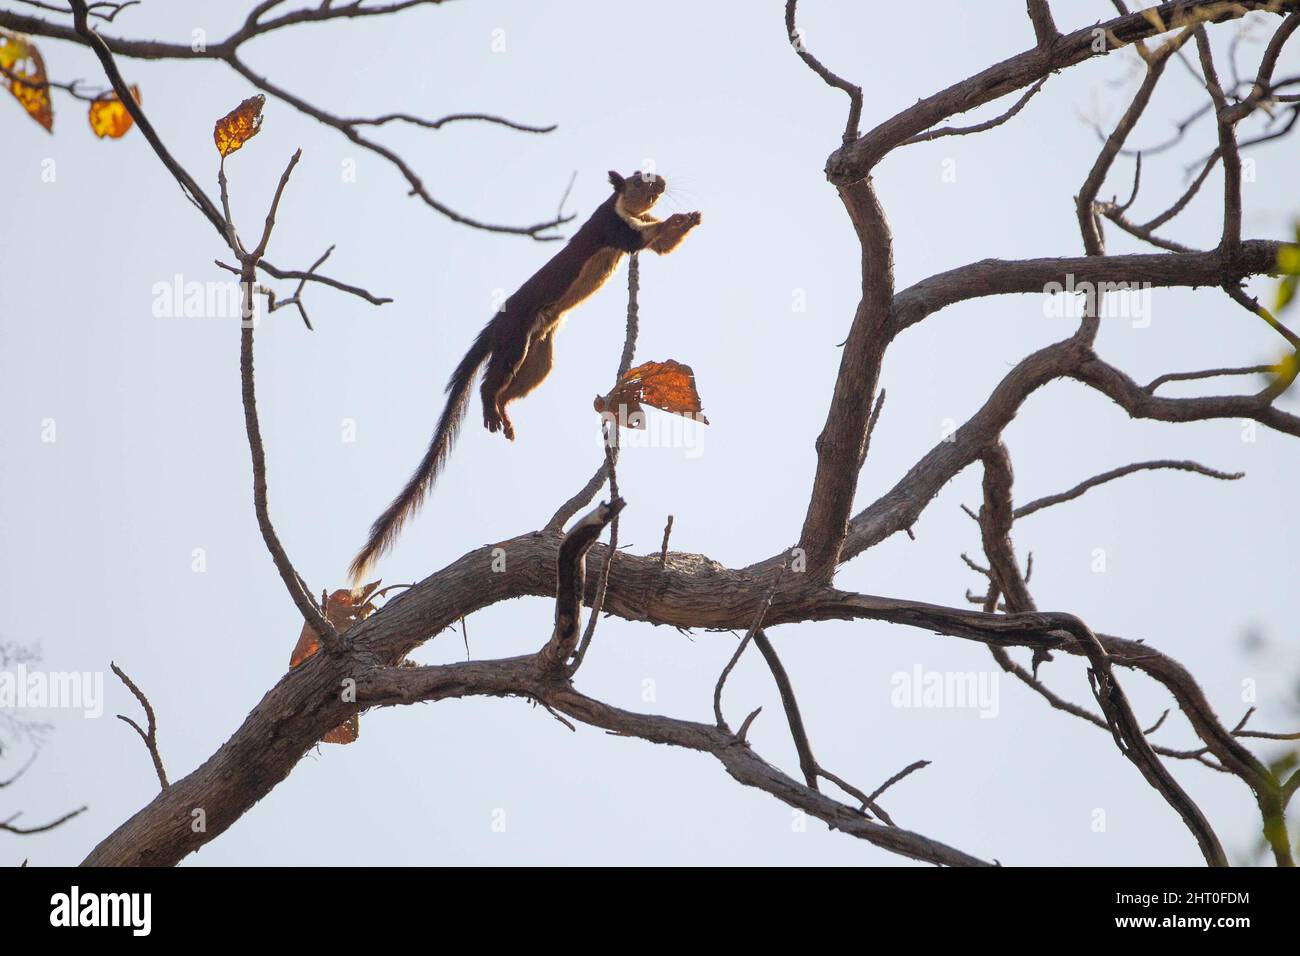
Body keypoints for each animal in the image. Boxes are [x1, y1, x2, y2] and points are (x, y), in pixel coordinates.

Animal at [348, 169, 701, 584]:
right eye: (638, 178)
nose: (661, 182)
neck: (625, 208)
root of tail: (496, 326)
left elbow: (660, 245)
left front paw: (690, 219)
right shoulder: (613, 228)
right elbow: (645, 239)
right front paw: (677, 218)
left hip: (539, 357)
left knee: (511, 387)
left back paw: (505, 415)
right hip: (515, 340)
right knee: (490, 382)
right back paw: (489, 408)